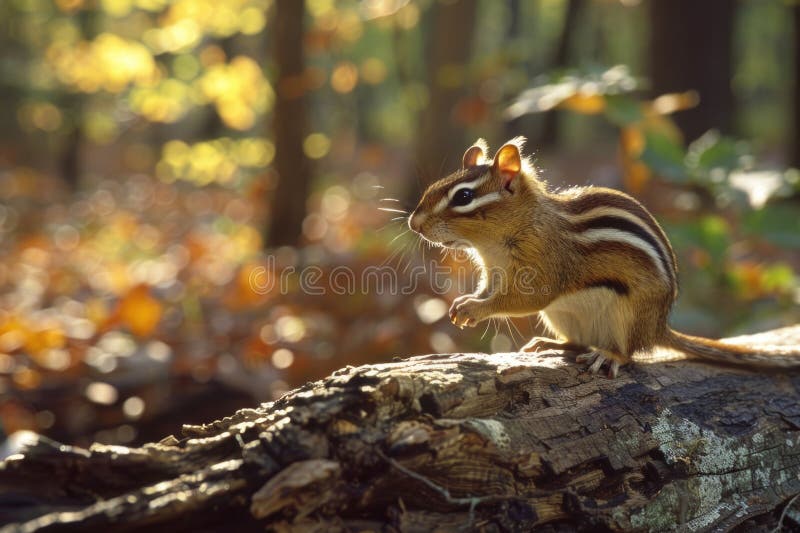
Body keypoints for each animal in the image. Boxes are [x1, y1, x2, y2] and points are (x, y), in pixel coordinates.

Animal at [408, 137, 799, 378]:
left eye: (464, 197)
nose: (414, 223)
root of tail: (657, 327)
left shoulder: (543, 266)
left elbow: (522, 300)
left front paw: (476, 309)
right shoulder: (494, 273)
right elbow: (488, 291)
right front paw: (464, 303)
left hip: (626, 317)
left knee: (628, 353)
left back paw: (609, 356)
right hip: (563, 316)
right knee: (577, 341)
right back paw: (551, 343)